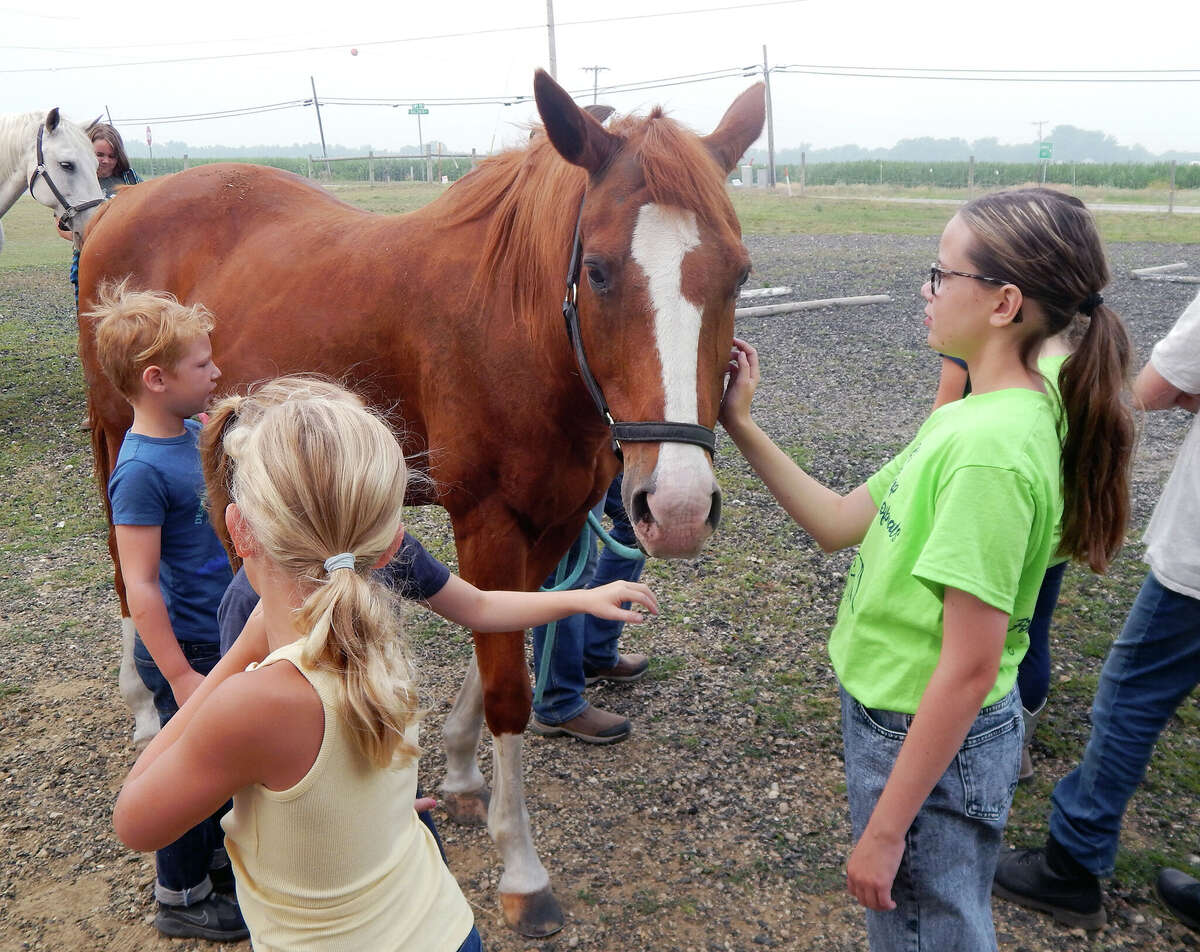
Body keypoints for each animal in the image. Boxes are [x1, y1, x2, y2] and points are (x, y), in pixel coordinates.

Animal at [78, 69, 764, 937]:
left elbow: (502, 627)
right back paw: (146, 707)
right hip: (114, 433)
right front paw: (523, 871)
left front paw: (465, 776)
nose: (675, 507)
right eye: (602, 271)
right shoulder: (491, 520)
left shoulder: (552, 520)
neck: (517, 317)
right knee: (121, 566)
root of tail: (119, 208)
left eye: (739, 273)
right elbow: (508, 689)